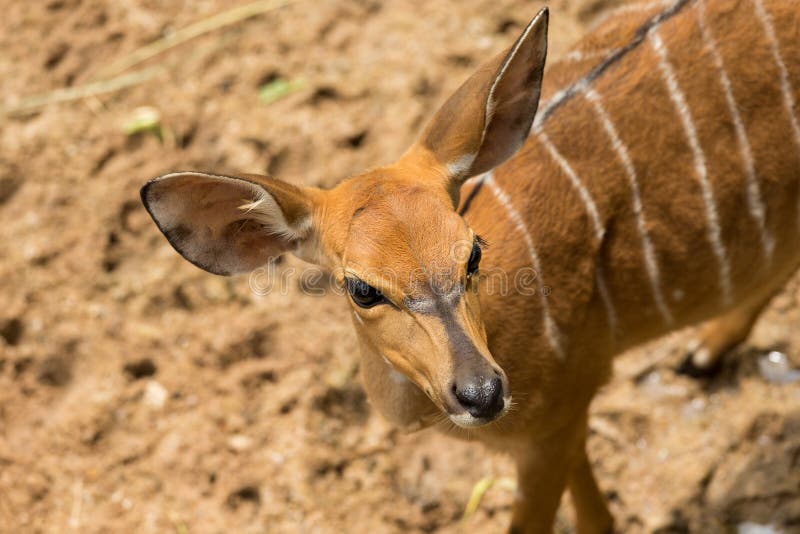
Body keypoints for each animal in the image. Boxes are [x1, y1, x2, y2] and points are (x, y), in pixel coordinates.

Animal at [140, 0, 800, 531]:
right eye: (362, 288)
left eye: (474, 252)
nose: (482, 394)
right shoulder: (565, 420)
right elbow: (599, 515)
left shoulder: (557, 416)